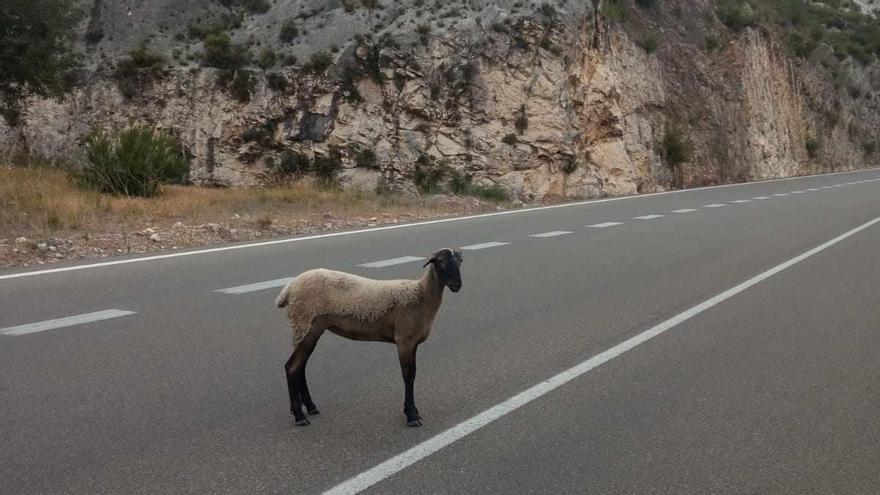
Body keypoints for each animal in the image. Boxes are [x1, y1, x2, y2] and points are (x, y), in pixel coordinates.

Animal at [275, 248, 463, 427]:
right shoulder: (404, 340)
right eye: (441, 262)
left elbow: (413, 373)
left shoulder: (413, 342)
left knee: (300, 366)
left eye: (460, 261)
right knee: (292, 366)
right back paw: (300, 416)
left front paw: (414, 411)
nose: (457, 285)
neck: (421, 295)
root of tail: (288, 290)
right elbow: (408, 376)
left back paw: (310, 407)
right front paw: (411, 416)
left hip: (309, 329)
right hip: (304, 323)